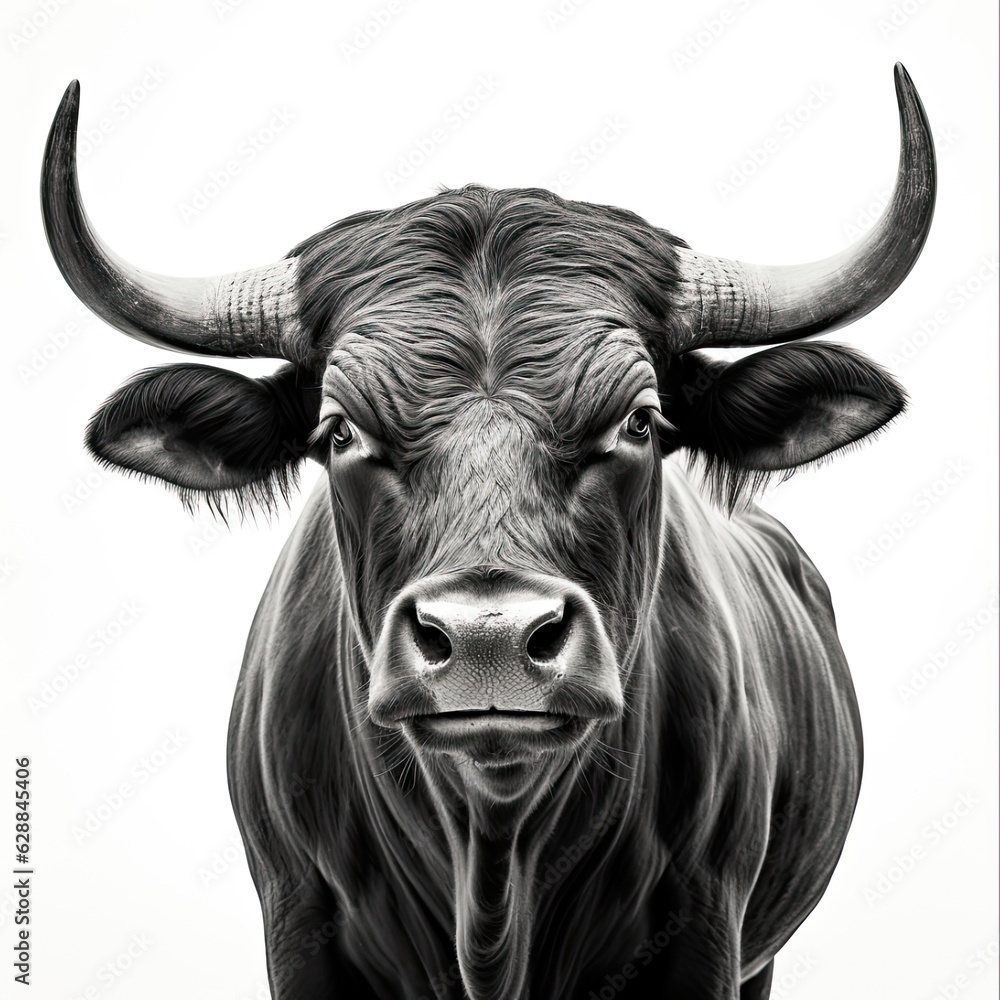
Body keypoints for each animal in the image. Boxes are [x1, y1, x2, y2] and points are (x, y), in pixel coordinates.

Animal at [42, 64, 935, 999]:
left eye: (640, 421)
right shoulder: (297, 927)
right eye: (340, 432)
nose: (489, 641)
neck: (493, 872)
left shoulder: (706, 932)